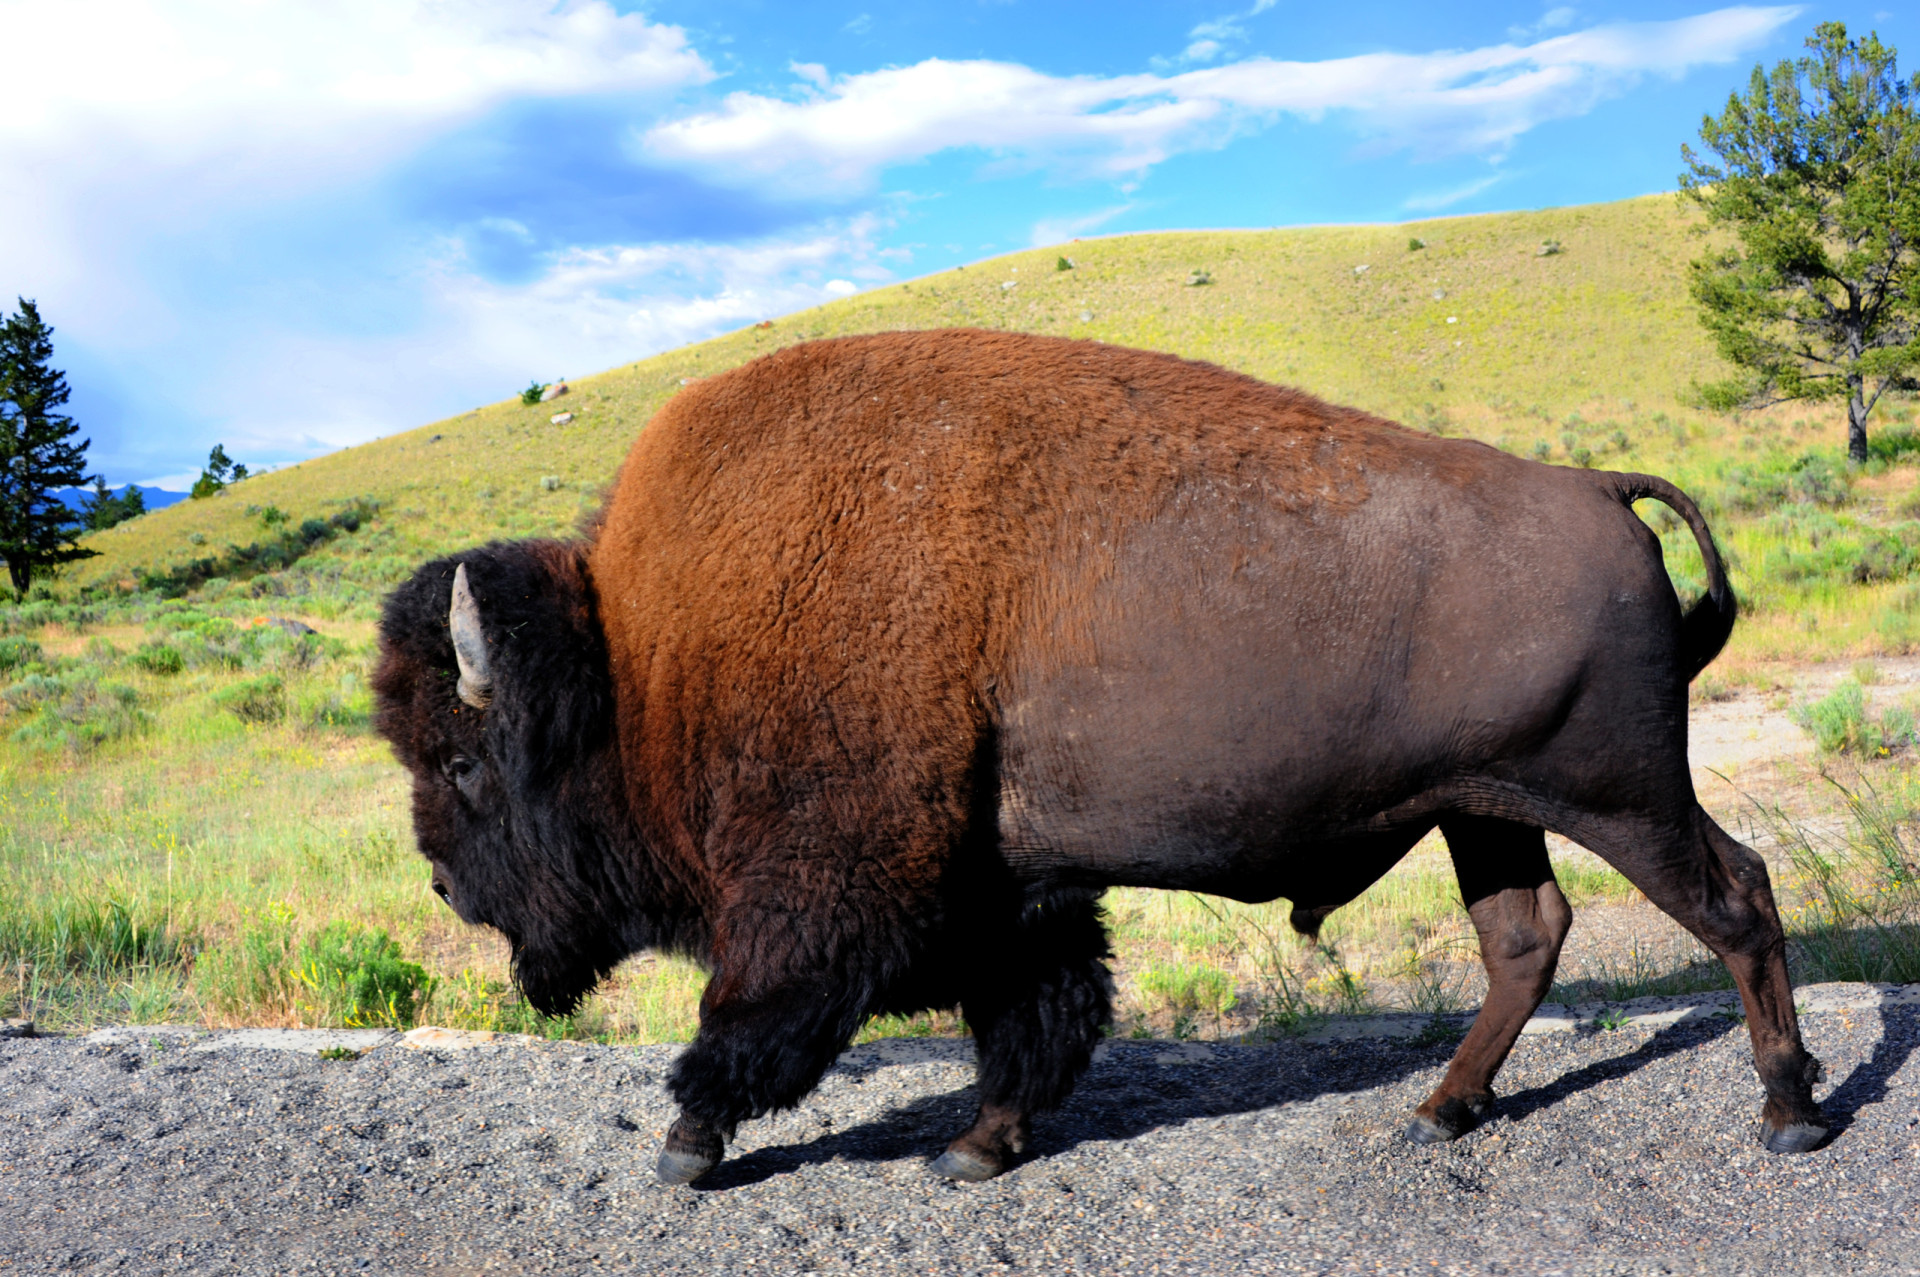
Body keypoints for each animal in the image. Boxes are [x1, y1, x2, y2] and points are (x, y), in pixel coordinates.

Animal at [373, 329, 1828, 1185]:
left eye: (466, 765)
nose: (444, 886)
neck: (639, 654)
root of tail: (1593, 486)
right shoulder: (1010, 886)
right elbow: (1040, 1014)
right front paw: (979, 1147)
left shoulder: (824, 883)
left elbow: (757, 1015)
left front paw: (686, 1145)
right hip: (1489, 806)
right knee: (1525, 936)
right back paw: (1442, 1110)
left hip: (1620, 790)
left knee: (1736, 897)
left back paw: (1791, 1112)